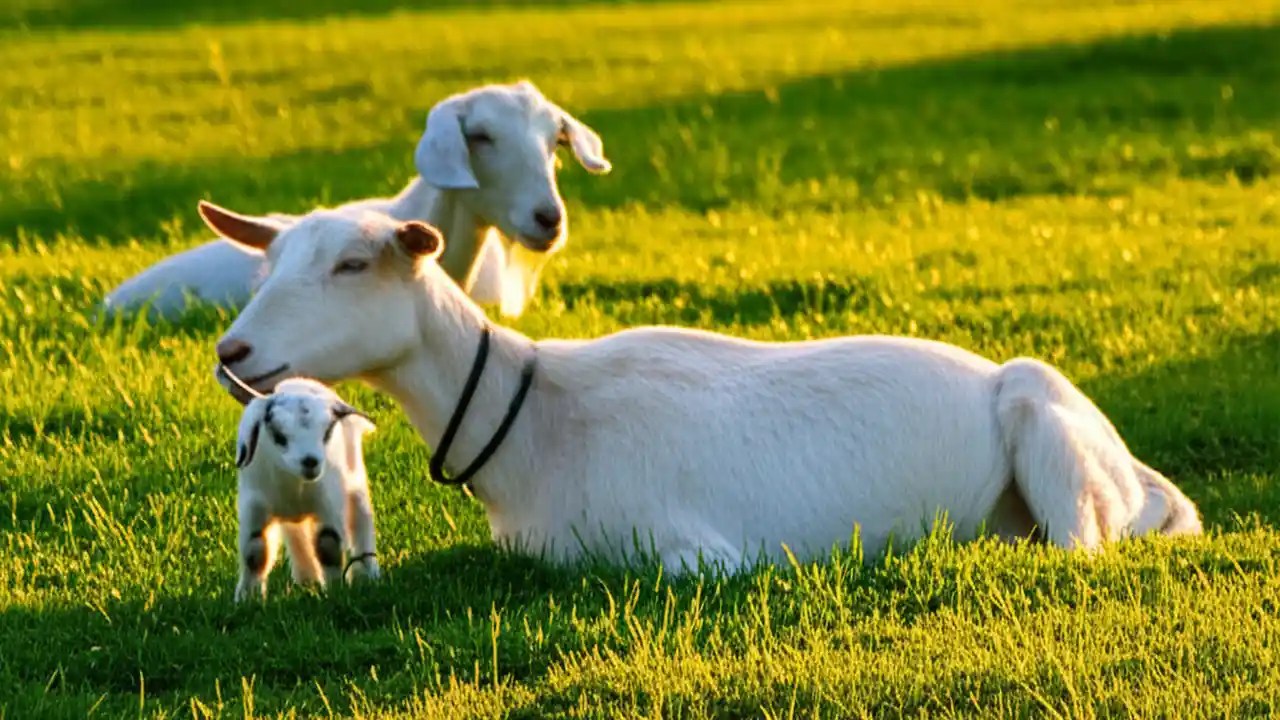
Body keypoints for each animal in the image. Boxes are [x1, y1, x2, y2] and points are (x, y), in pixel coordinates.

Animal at [207, 206, 1202, 573]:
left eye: (353, 263)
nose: (234, 349)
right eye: (268, 259)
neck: (537, 422)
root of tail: (1143, 478)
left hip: (1049, 437)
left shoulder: (699, 553)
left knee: (1077, 545)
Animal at [230, 376, 379, 601]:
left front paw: (336, 590)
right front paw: (247, 599)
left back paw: (368, 575)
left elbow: (328, 545)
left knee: (362, 521)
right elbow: (254, 551)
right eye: (279, 436)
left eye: (326, 433)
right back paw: (308, 580)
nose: (311, 461)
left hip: (355, 482)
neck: (295, 484)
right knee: (296, 534)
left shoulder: (329, 499)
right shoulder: (254, 505)